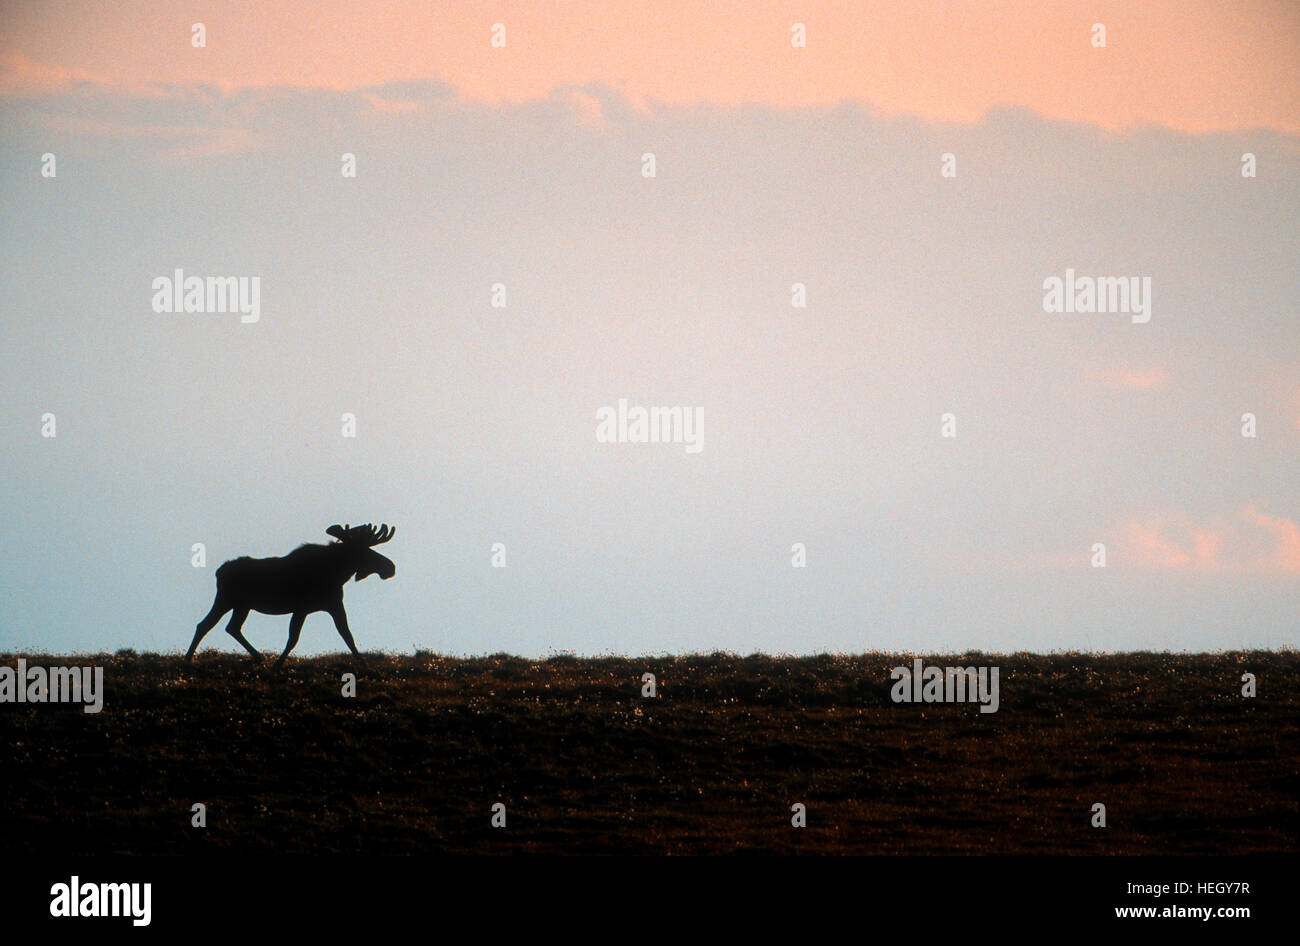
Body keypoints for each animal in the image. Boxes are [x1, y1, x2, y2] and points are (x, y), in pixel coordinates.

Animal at [186, 523, 396, 667]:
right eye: (363, 551)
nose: (390, 567)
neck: (337, 573)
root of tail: (218, 572)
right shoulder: (301, 608)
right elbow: (293, 638)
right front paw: (278, 664)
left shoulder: (334, 605)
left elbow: (348, 635)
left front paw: (364, 665)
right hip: (226, 600)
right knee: (205, 625)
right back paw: (188, 658)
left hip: (242, 605)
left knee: (231, 627)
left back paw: (258, 656)